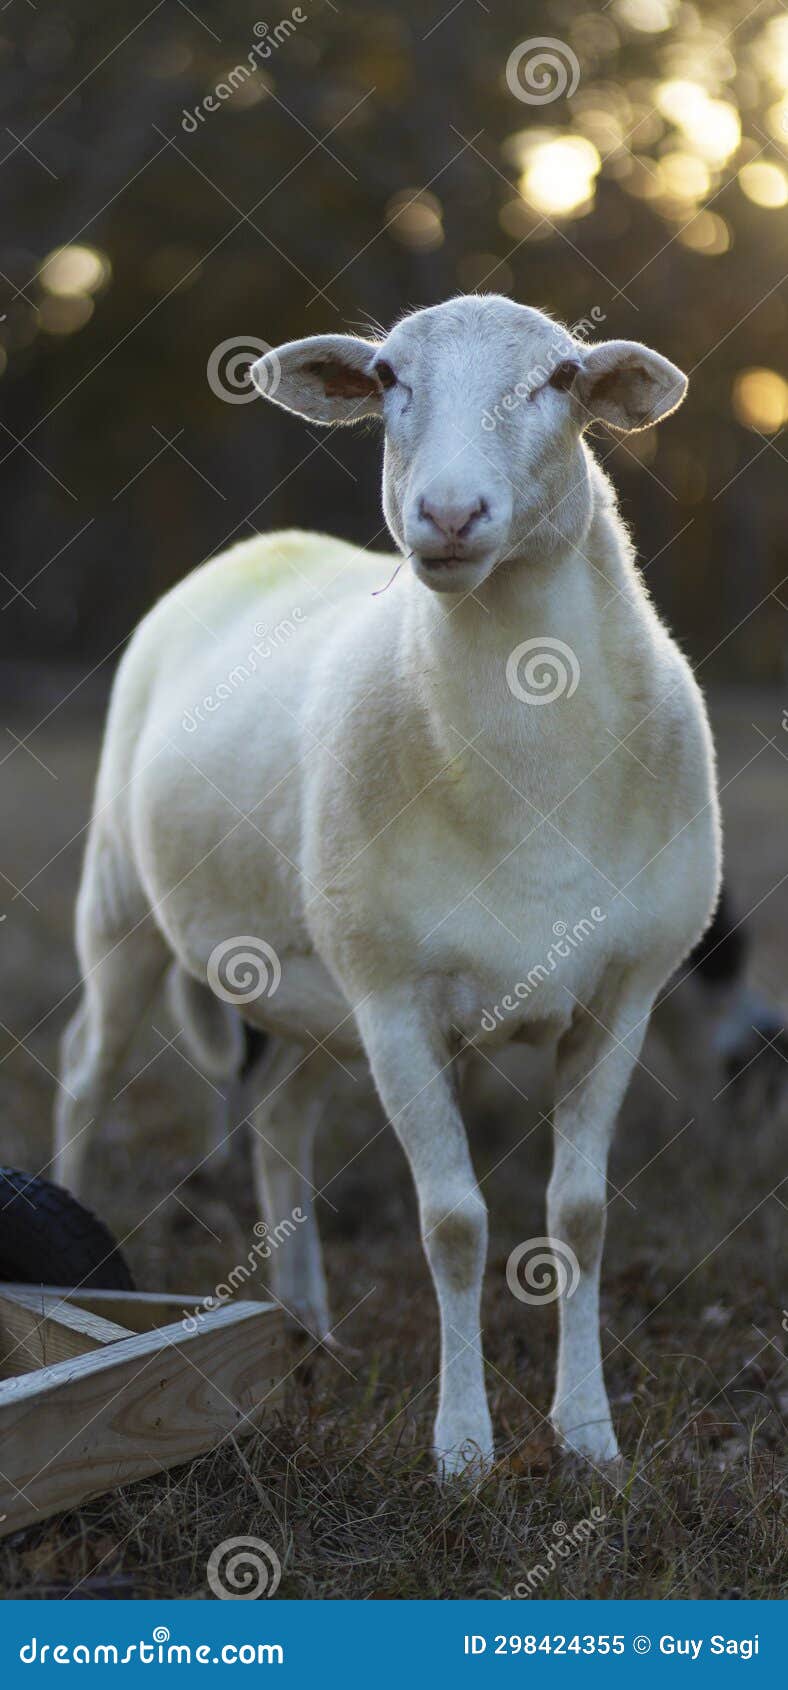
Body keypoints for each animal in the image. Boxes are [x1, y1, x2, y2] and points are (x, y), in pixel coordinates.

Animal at [54, 294, 721, 1476]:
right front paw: (463, 1450)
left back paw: (305, 1324)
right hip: (125, 906)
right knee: (85, 1074)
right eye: (386, 377)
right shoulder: (398, 1001)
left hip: (310, 989)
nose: (447, 513)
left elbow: (580, 1216)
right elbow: (453, 1225)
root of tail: (266, 545)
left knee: (279, 1123)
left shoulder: (622, 992)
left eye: (561, 377)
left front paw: (587, 1435)